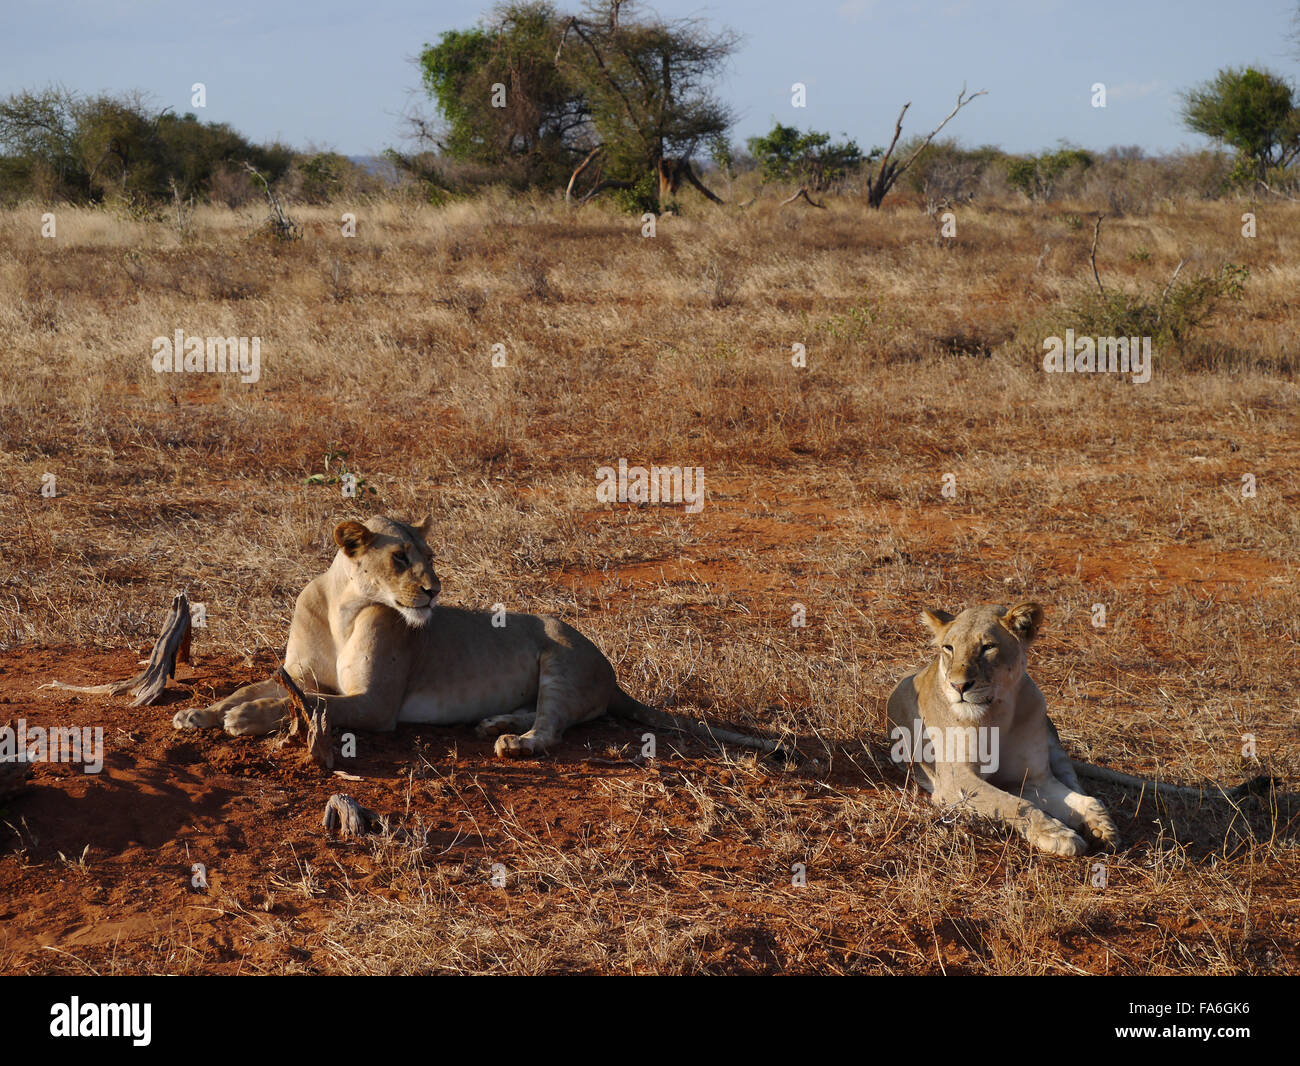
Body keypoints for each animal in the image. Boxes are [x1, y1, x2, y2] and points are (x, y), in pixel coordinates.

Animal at [172, 514, 784, 759]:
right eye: (400, 557)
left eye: (431, 556)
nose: (435, 590)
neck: (344, 607)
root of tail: (613, 675)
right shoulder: (298, 674)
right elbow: (260, 688)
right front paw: (200, 713)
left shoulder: (374, 705)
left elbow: (305, 705)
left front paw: (242, 719)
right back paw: (495, 721)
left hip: (561, 654)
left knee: (553, 726)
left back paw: (515, 740)